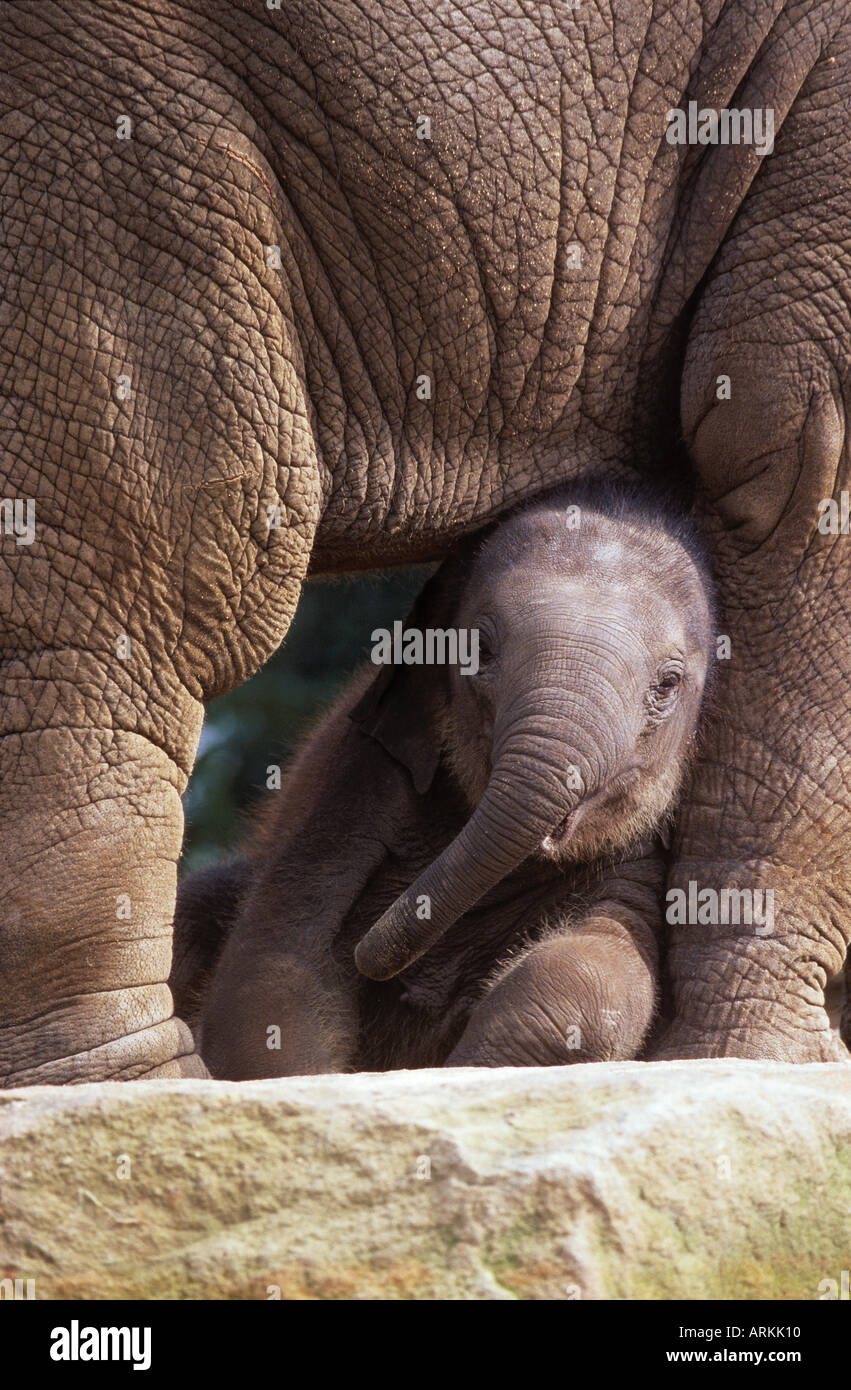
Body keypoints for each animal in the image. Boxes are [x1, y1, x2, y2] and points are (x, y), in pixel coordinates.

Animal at [171, 484, 716, 1076]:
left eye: (668, 684)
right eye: (480, 649)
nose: (370, 952)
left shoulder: (640, 856)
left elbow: (599, 976)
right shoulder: (362, 778)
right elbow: (271, 966)